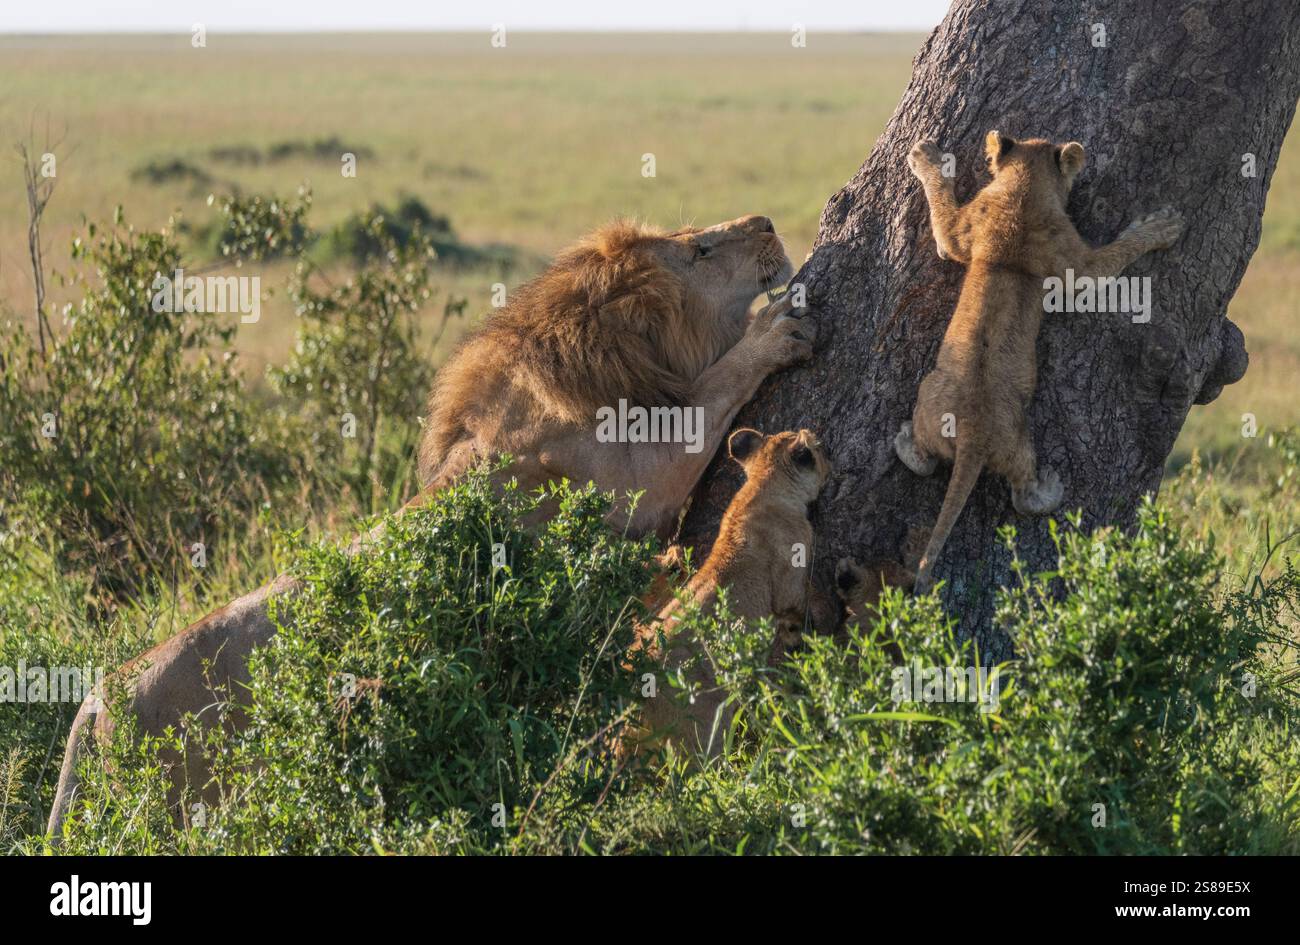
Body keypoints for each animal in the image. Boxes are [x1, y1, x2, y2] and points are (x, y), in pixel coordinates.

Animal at [47, 214, 813, 839]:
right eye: (699, 249)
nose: (767, 222)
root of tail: (93, 704)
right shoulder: (636, 469)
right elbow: (714, 390)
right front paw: (775, 328)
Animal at [896, 131, 1183, 593]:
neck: (1023, 188)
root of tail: (974, 437)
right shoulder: (1073, 265)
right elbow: (1119, 251)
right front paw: (1163, 227)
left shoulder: (963, 235)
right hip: (1007, 438)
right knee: (1019, 493)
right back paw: (1050, 487)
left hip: (942, 404)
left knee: (934, 463)